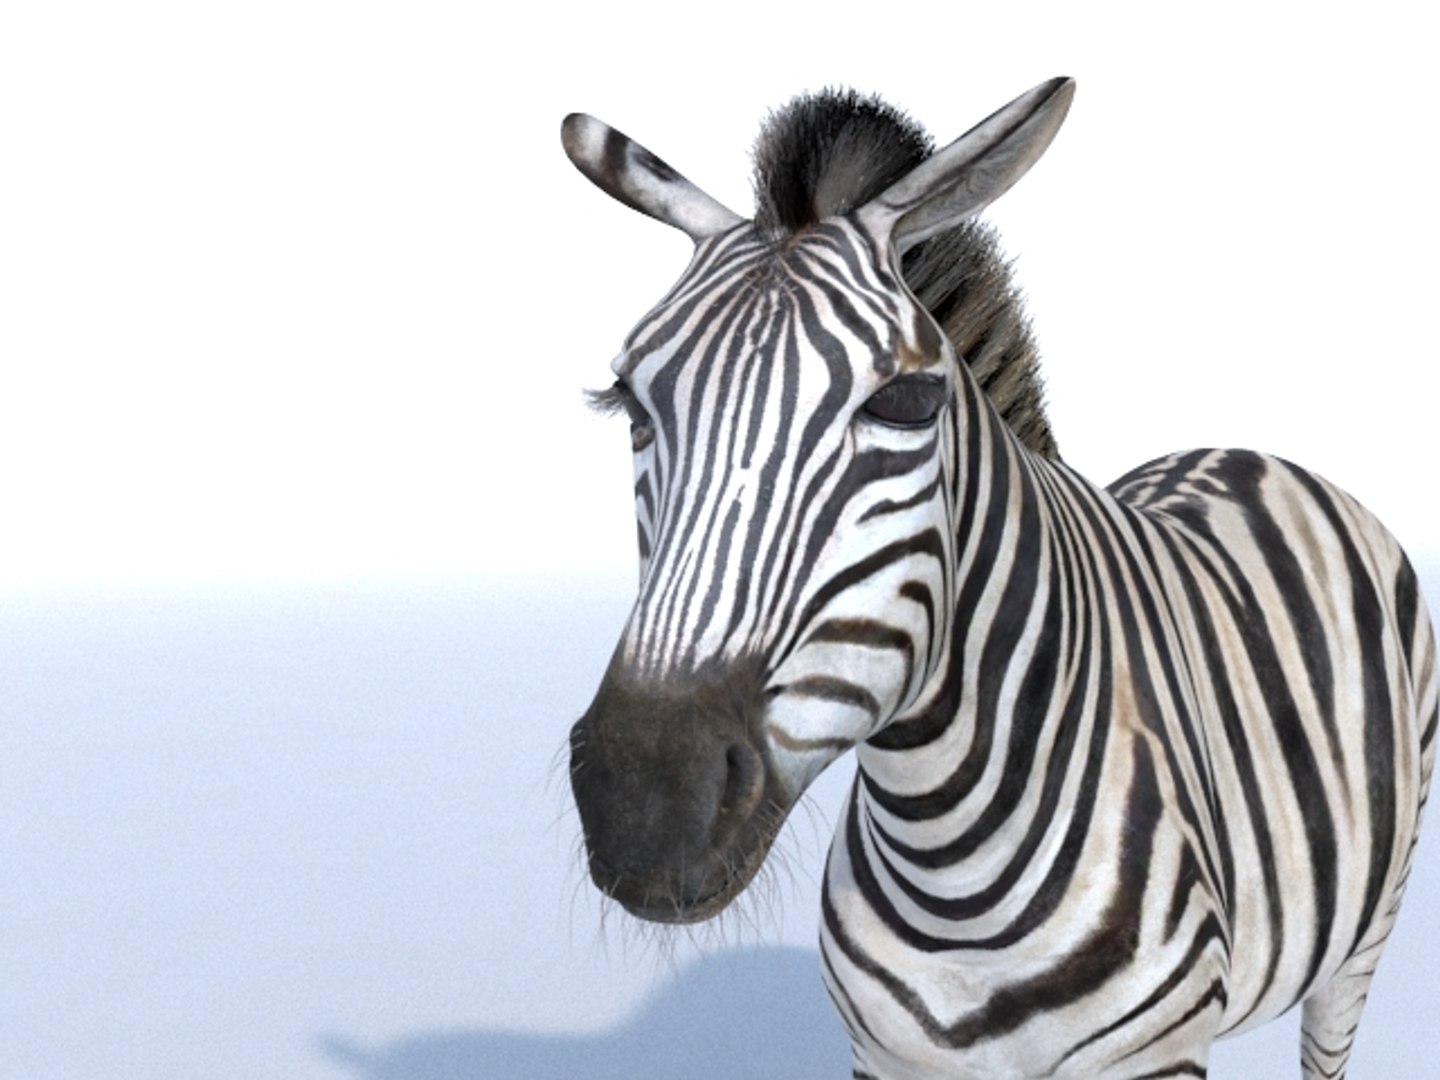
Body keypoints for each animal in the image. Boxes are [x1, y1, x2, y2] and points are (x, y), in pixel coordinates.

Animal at [561, 77, 1437, 1078]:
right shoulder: (886, 1054)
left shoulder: (1159, 1052)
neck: (949, 866)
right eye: (630, 405)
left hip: (1365, 935)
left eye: (906, 403)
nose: (643, 800)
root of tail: (1255, 453)